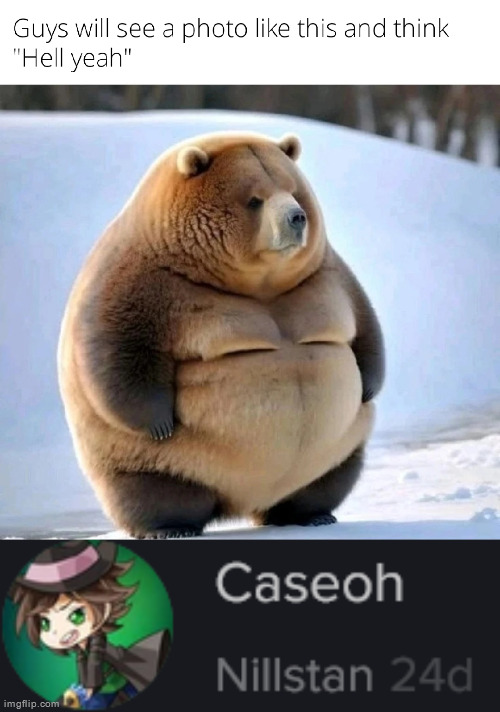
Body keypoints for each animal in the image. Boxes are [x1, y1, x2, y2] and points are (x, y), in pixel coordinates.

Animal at [58, 131, 385, 538]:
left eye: (293, 190)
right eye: (255, 199)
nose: (297, 217)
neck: (260, 286)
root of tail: (248, 499)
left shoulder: (322, 273)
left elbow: (362, 321)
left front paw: (369, 385)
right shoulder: (147, 276)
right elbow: (115, 342)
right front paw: (159, 421)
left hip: (336, 447)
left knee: (331, 475)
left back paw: (309, 513)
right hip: (158, 460)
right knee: (155, 489)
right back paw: (172, 525)